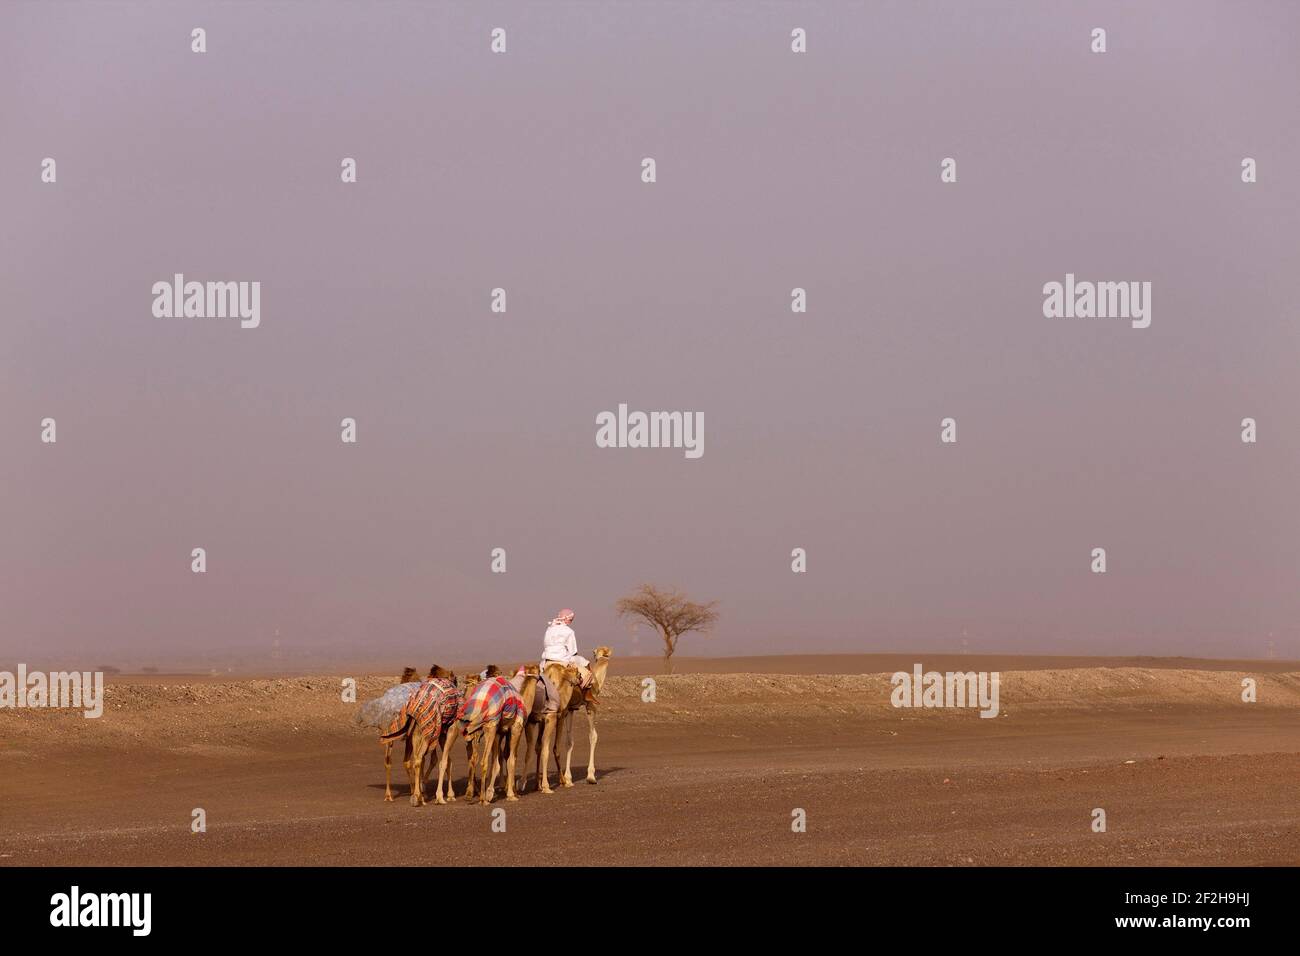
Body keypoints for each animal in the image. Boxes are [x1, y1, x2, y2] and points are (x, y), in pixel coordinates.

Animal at [460, 665, 539, 804]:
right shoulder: (515, 728)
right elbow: (511, 758)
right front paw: (511, 793)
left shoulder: (500, 732)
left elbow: (499, 759)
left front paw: (494, 790)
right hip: (490, 726)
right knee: (483, 760)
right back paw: (482, 799)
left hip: (475, 730)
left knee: (474, 758)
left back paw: (472, 794)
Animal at [537, 646, 612, 792]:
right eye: (596, 653)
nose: (603, 656)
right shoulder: (591, 706)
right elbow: (593, 736)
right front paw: (591, 777)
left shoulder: (570, 710)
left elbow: (569, 741)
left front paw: (568, 778)